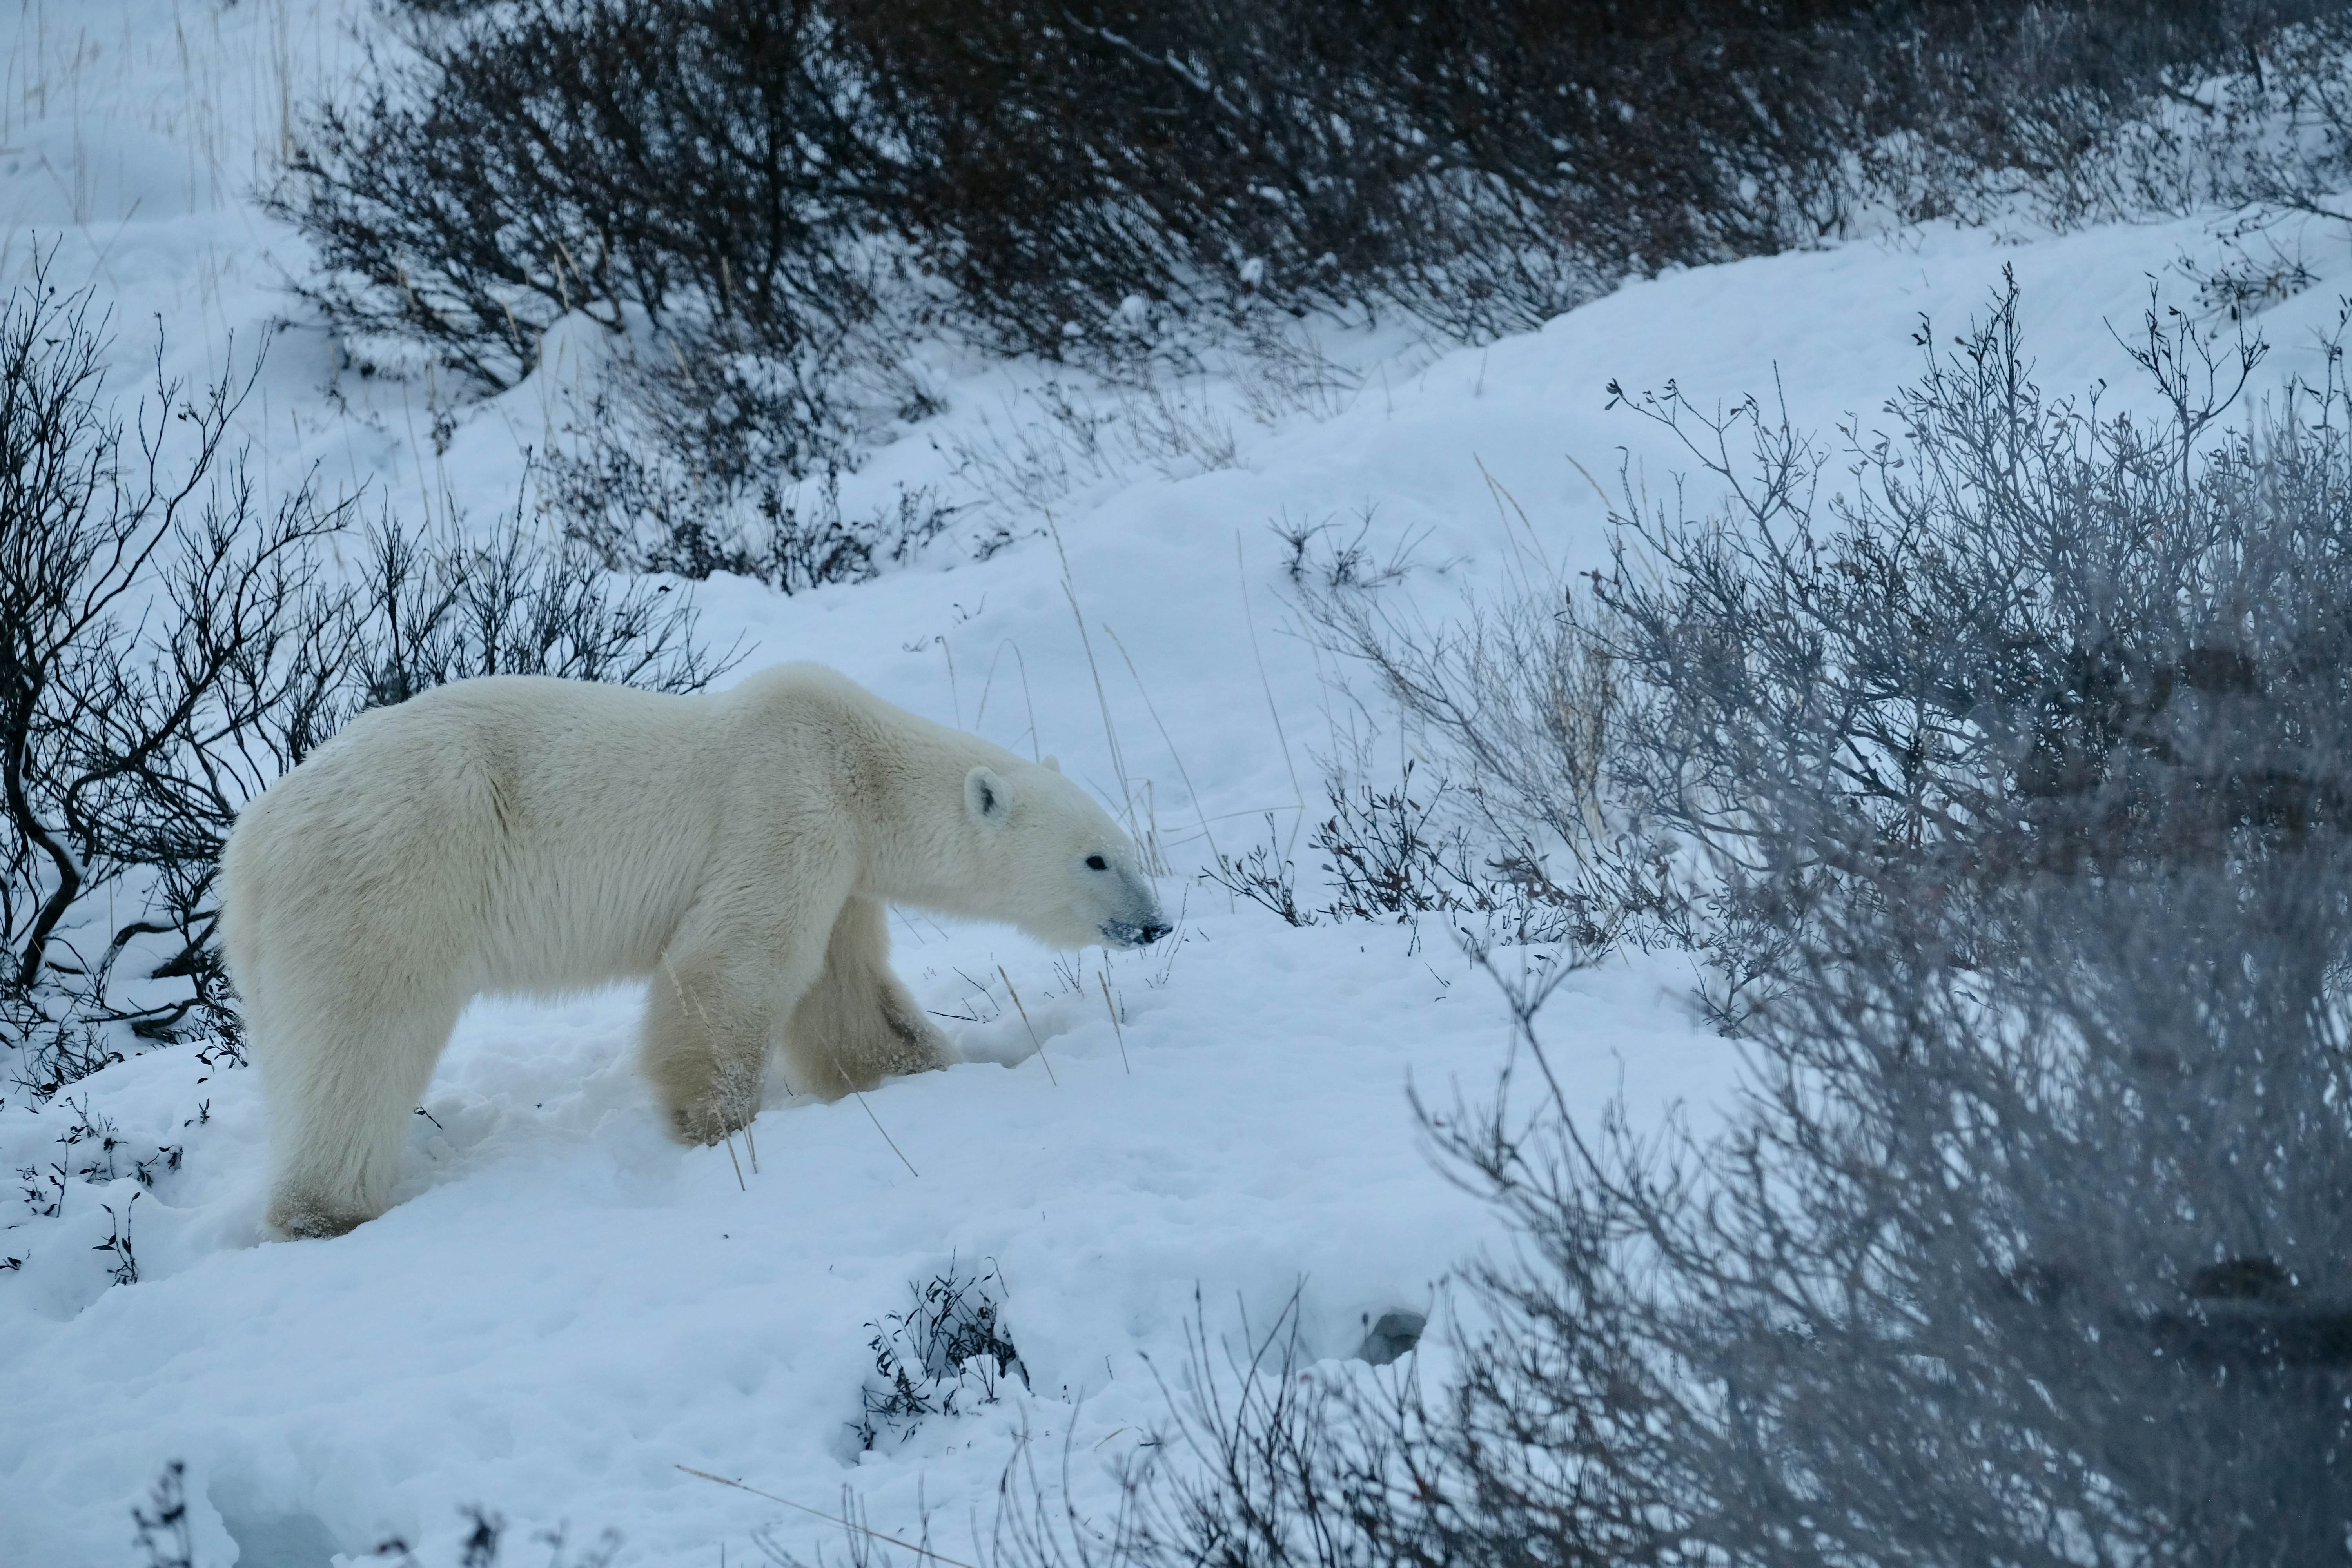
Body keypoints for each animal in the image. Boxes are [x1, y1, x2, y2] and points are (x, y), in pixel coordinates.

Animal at [220, 662, 1169, 1238]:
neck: (856, 762)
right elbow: (737, 964)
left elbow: (848, 998)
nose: (1157, 923)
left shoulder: (844, 870)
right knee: (363, 1036)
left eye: (1127, 845)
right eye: (1097, 858)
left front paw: (920, 1069)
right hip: (393, 872)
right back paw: (325, 1211)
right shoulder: (784, 807)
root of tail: (248, 838)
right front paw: (721, 1125)